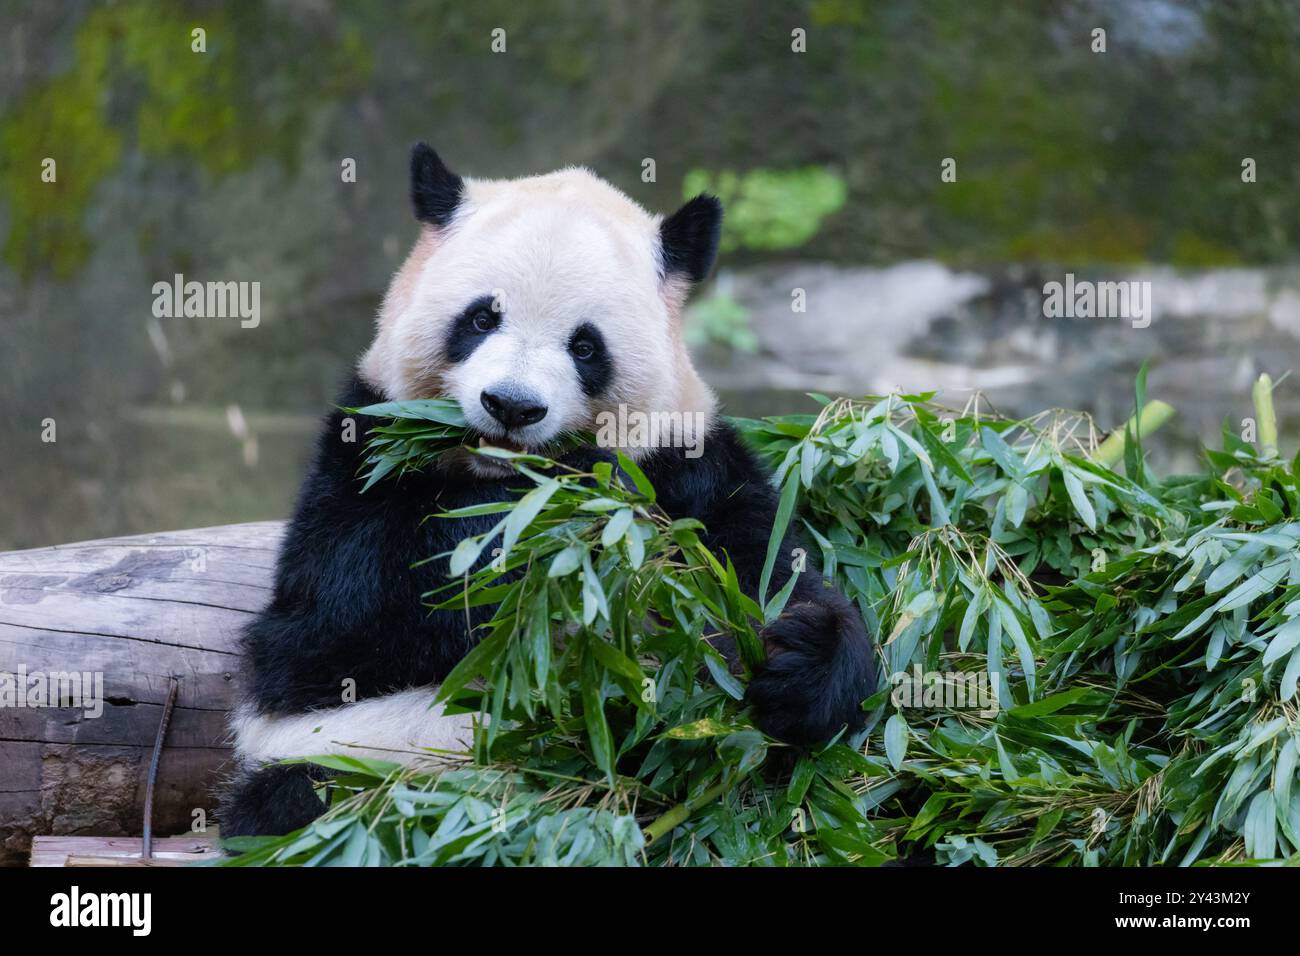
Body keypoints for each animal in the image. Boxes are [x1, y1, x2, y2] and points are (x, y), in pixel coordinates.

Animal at [219, 144, 876, 838]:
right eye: (483, 317)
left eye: (585, 346)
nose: (512, 405)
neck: (502, 473)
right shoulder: (363, 450)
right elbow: (359, 606)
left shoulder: (687, 461)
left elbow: (764, 568)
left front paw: (803, 663)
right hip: (360, 760)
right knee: (306, 799)